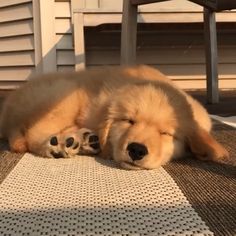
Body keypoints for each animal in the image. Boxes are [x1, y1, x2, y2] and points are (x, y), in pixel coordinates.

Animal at [0, 65, 229, 170]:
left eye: (166, 133)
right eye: (128, 121)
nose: (137, 150)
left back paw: (82, 140)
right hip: (65, 93)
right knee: (33, 132)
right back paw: (58, 144)